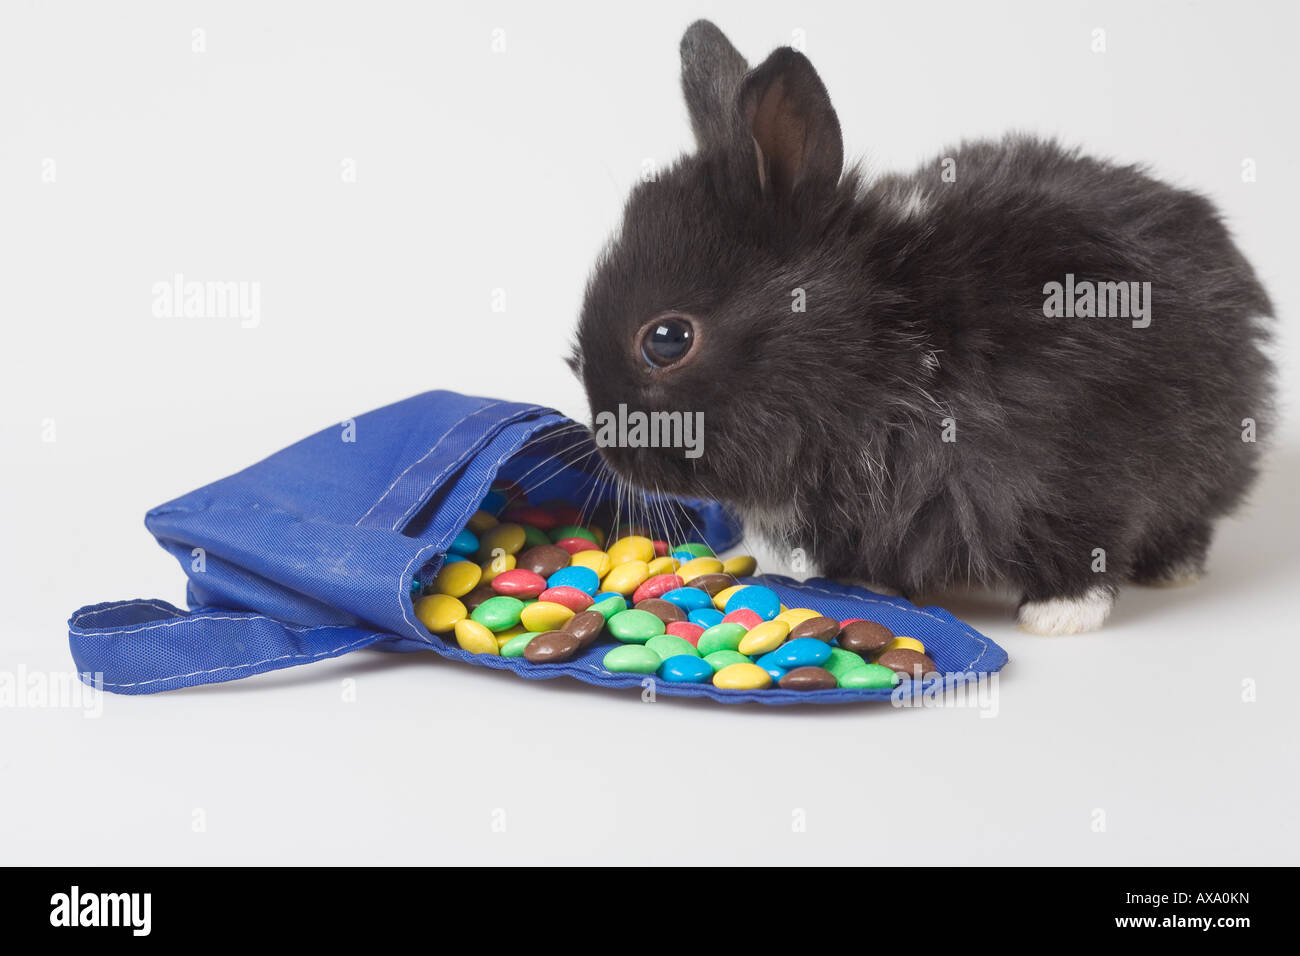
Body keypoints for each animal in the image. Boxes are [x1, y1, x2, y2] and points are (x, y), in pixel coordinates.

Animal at [568, 19, 1274, 635]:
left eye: (667, 339)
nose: (610, 447)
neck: (881, 344)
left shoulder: (1077, 471)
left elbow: (1080, 547)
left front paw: (1059, 617)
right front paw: (865, 589)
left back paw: (1173, 570)